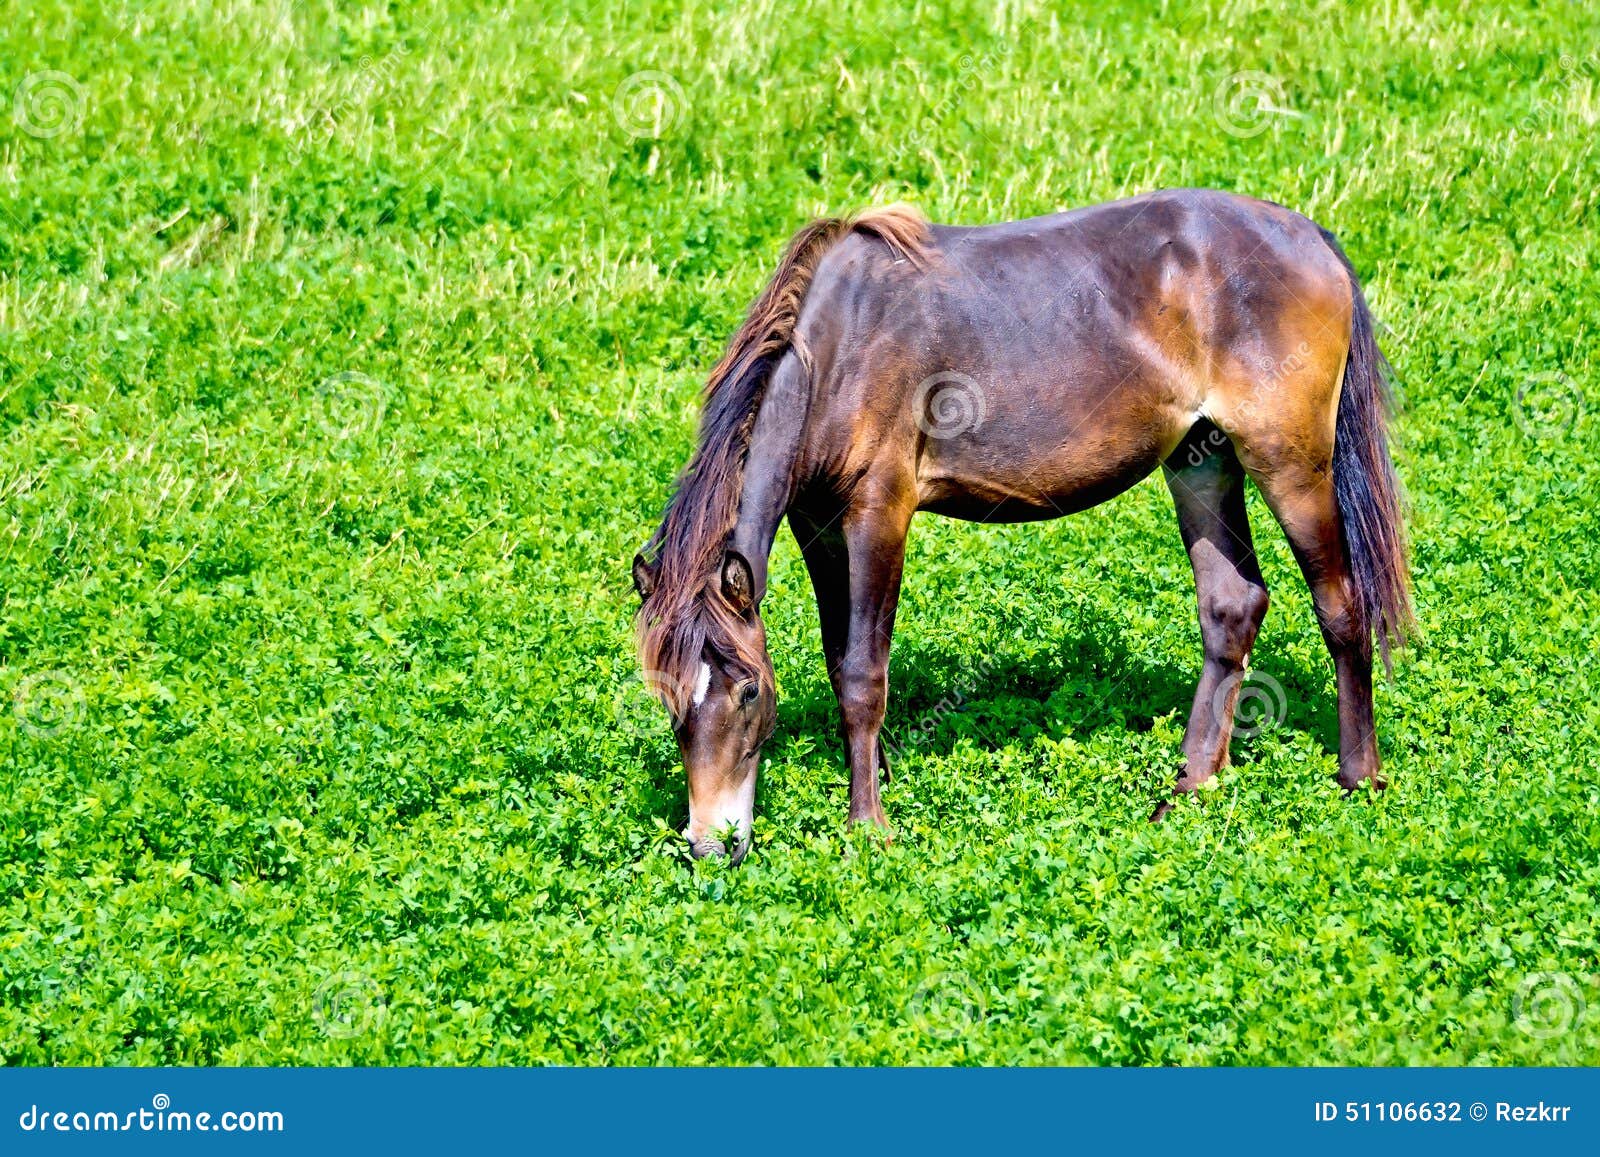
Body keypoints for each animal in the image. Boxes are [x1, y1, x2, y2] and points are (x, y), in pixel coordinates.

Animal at [632, 188, 1412, 861]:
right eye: (669, 697)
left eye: (747, 691)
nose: (710, 845)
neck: (839, 348)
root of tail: (1311, 238)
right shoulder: (817, 524)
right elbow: (836, 656)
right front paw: (877, 779)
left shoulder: (879, 512)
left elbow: (861, 672)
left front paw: (869, 826)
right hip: (1201, 457)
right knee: (1232, 607)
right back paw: (1190, 788)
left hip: (1289, 462)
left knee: (1342, 606)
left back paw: (1358, 778)